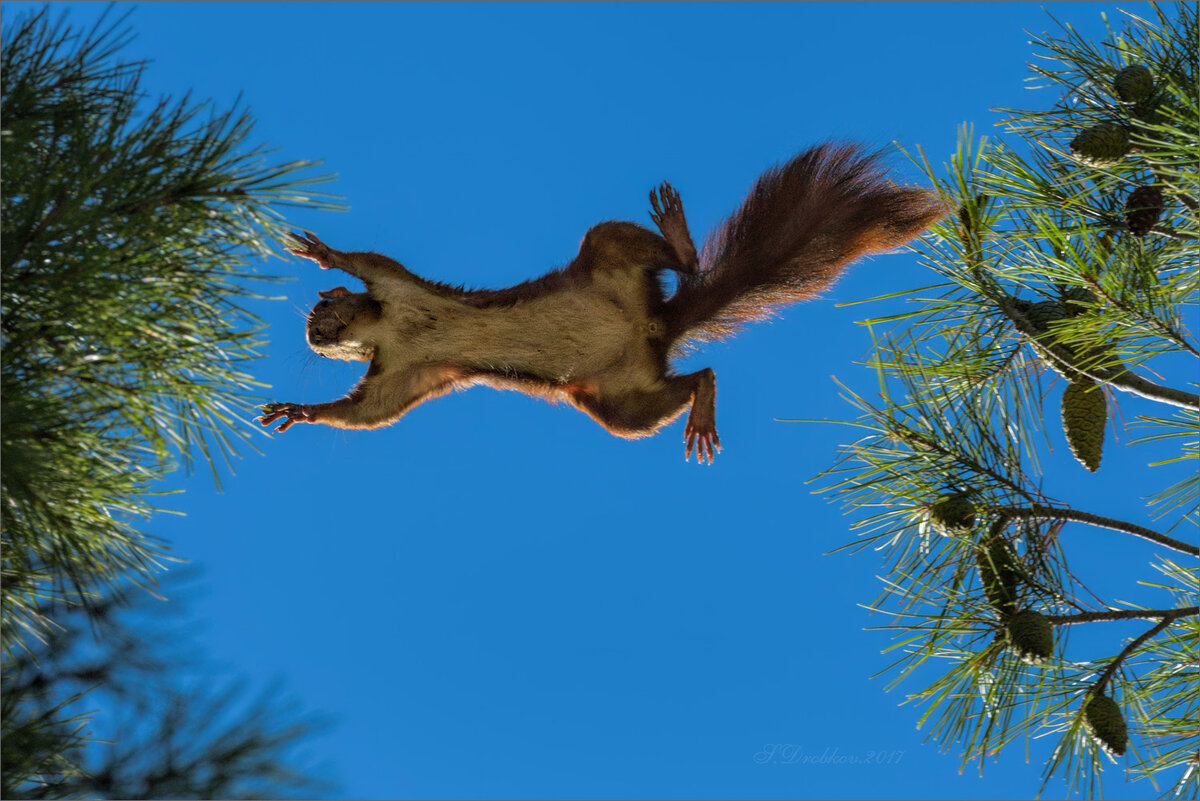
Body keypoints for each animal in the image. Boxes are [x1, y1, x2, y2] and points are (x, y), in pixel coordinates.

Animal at [262, 140, 945, 460]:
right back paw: (699, 401)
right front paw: (303, 411)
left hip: (608, 251)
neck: (389, 330)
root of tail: (655, 328)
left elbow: (367, 263)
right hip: (620, 404)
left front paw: (323, 253)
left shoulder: (396, 289)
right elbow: (367, 413)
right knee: (686, 381)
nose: (313, 337)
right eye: (313, 331)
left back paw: (678, 238)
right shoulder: (399, 374)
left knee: (675, 265)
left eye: (321, 312)